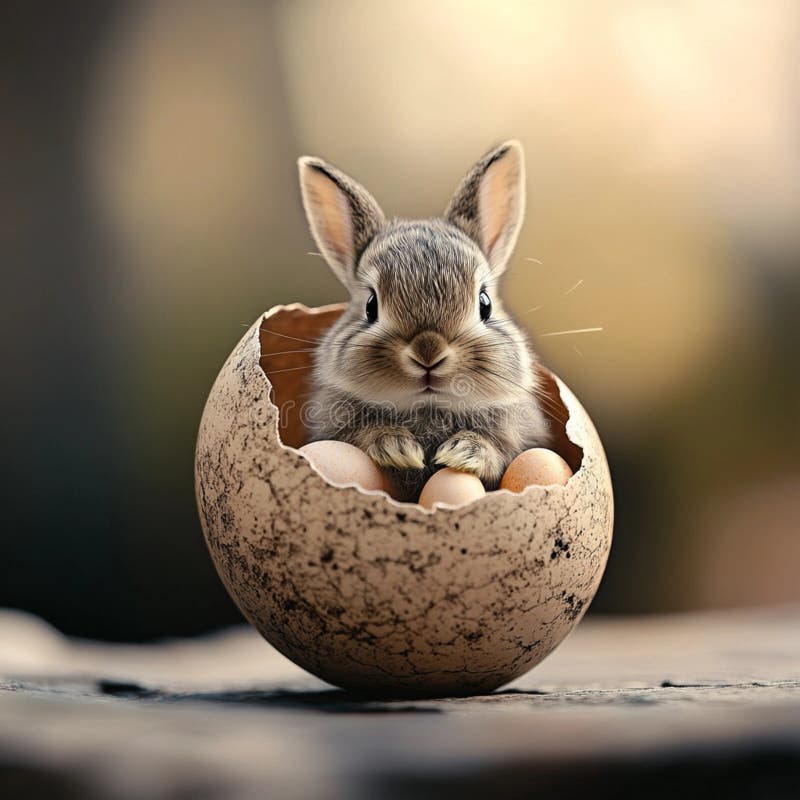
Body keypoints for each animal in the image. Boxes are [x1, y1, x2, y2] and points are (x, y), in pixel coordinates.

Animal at [297, 141, 550, 502]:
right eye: (371, 306)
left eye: (485, 304)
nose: (428, 352)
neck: (429, 410)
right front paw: (396, 446)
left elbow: (500, 453)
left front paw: (464, 453)